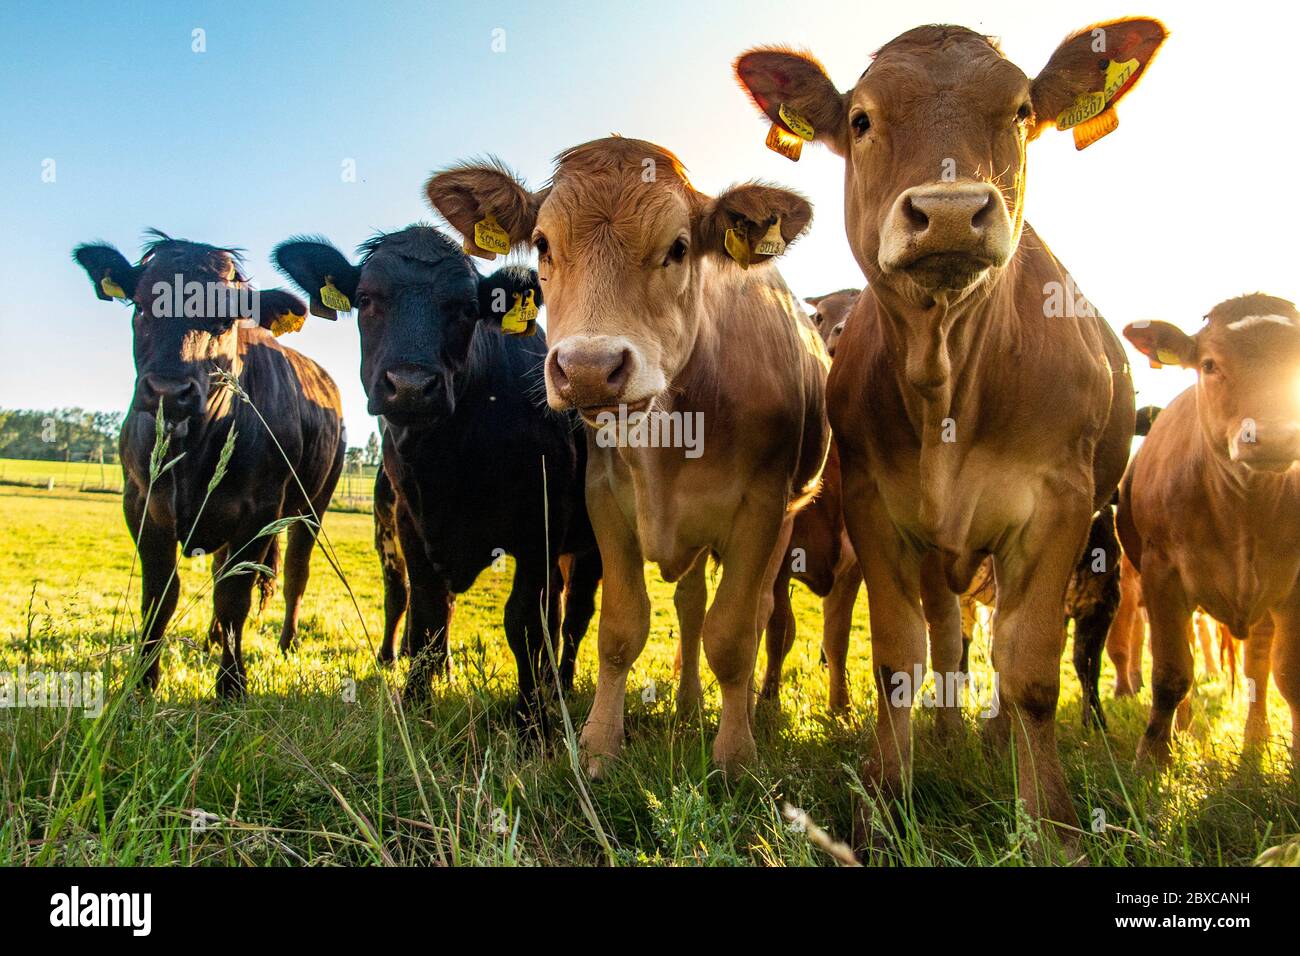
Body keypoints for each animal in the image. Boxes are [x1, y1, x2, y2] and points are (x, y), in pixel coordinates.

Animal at [72, 232, 346, 697]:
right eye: (141, 306)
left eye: (225, 320)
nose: (168, 389)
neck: (194, 449)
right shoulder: (140, 503)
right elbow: (160, 594)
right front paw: (144, 679)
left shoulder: (259, 512)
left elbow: (235, 596)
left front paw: (232, 684)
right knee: (222, 568)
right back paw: (214, 637)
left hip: (313, 505)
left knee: (295, 573)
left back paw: (286, 644)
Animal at [272, 226, 600, 731]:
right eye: (365, 299)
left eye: (466, 308)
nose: (410, 386)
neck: (450, 459)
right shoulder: (413, 523)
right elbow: (427, 614)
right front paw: (416, 703)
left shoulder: (540, 529)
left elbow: (525, 621)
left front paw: (530, 723)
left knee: (575, 616)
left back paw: (559, 687)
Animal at [426, 137, 830, 774]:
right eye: (543, 244)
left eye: (679, 248)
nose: (589, 368)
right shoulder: (606, 503)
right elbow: (620, 628)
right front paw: (598, 745)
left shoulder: (761, 509)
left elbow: (734, 636)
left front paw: (734, 756)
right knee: (690, 605)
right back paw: (687, 705)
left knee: (761, 610)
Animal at [735, 17, 1165, 835]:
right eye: (862, 119)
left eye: (1023, 112)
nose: (952, 210)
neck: (946, 385)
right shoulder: (877, 508)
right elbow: (899, 657)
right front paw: (882, 800)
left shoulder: (1058, 507)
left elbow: (1031, 671)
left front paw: (1050, 821)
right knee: (948, 635)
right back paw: (945, 737)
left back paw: (992, 742)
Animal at [1120, 293, 1300, 764]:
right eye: (1208, 364)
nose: (1274, 436)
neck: (1244, 510)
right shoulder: (1161, 574)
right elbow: (1170, 670)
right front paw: (1153, 755)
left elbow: (1288, 674)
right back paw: (1183, 728)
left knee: (1257, 661)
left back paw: (1255, 739)